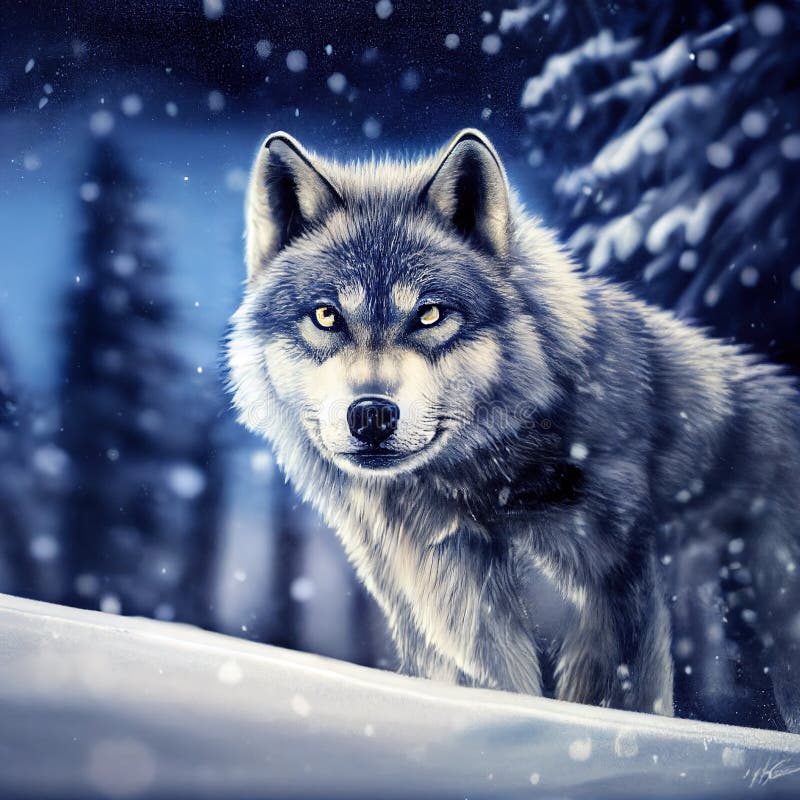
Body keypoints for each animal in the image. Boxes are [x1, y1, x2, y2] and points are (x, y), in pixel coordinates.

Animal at [227, 128, 800, 730]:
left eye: (429, 315)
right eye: (326, 316)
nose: (371, 414)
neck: (481, 486)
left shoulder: (616, 589)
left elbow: (613, 704)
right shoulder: (448, 613)